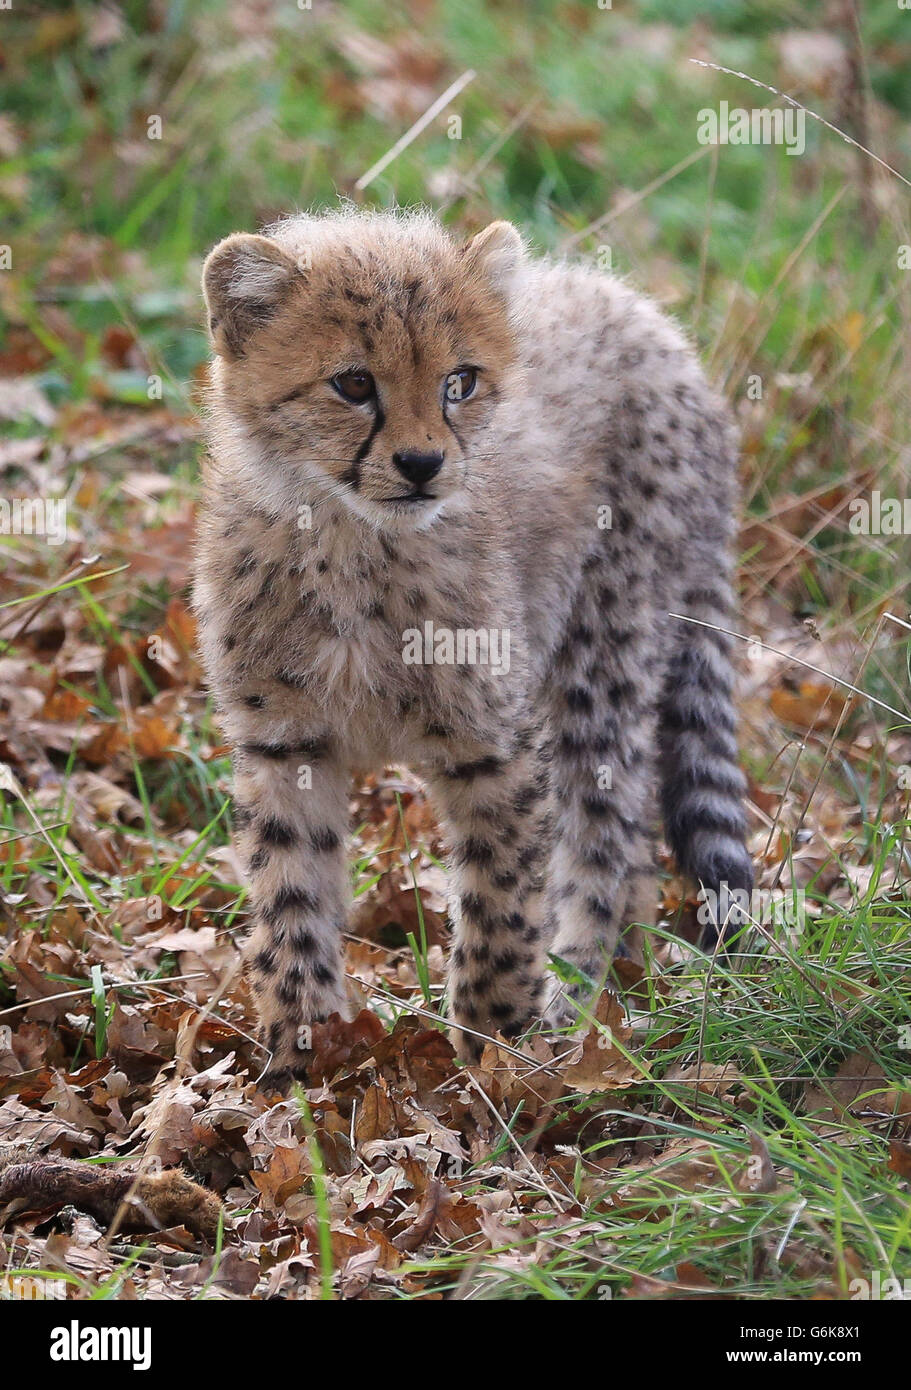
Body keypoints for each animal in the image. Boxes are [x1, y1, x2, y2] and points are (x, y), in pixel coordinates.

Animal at [192, 207, 753, 1087]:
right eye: (354, 384)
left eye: (459, 382)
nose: (422, 464)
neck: (348, 542)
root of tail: (649, 320)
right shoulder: (286, 742)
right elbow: (291, 892)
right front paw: (303, 1054)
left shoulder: (494, 743)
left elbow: (500, 899)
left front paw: (497, 1048)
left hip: (604, 651)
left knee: (608, 838)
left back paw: (576, 994)